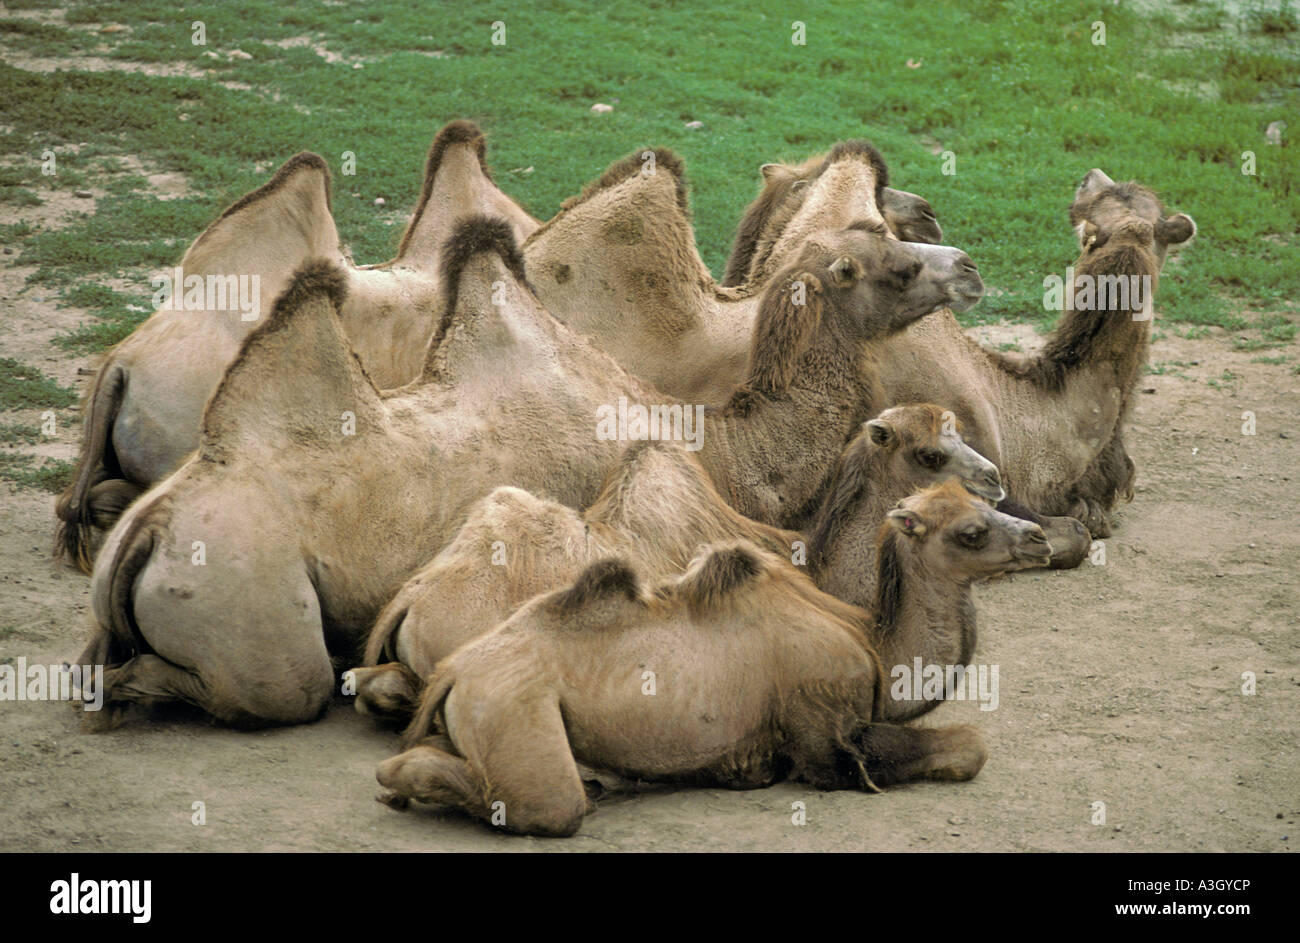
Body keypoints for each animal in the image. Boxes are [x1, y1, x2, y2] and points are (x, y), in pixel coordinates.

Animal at [77, 212, 979, 728]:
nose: (967, 265)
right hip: (247, 601)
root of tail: (150, 529)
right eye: (897, 264)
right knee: (268, 686)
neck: (719, 447)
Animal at [373, 481, 1050, 837]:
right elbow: (962, 747)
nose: (1040, 538)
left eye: (984, 505)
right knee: (548, 803)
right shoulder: (822, 729)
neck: (875, 646)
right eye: (969, 532)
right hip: (510, 707)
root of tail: (453, 673)